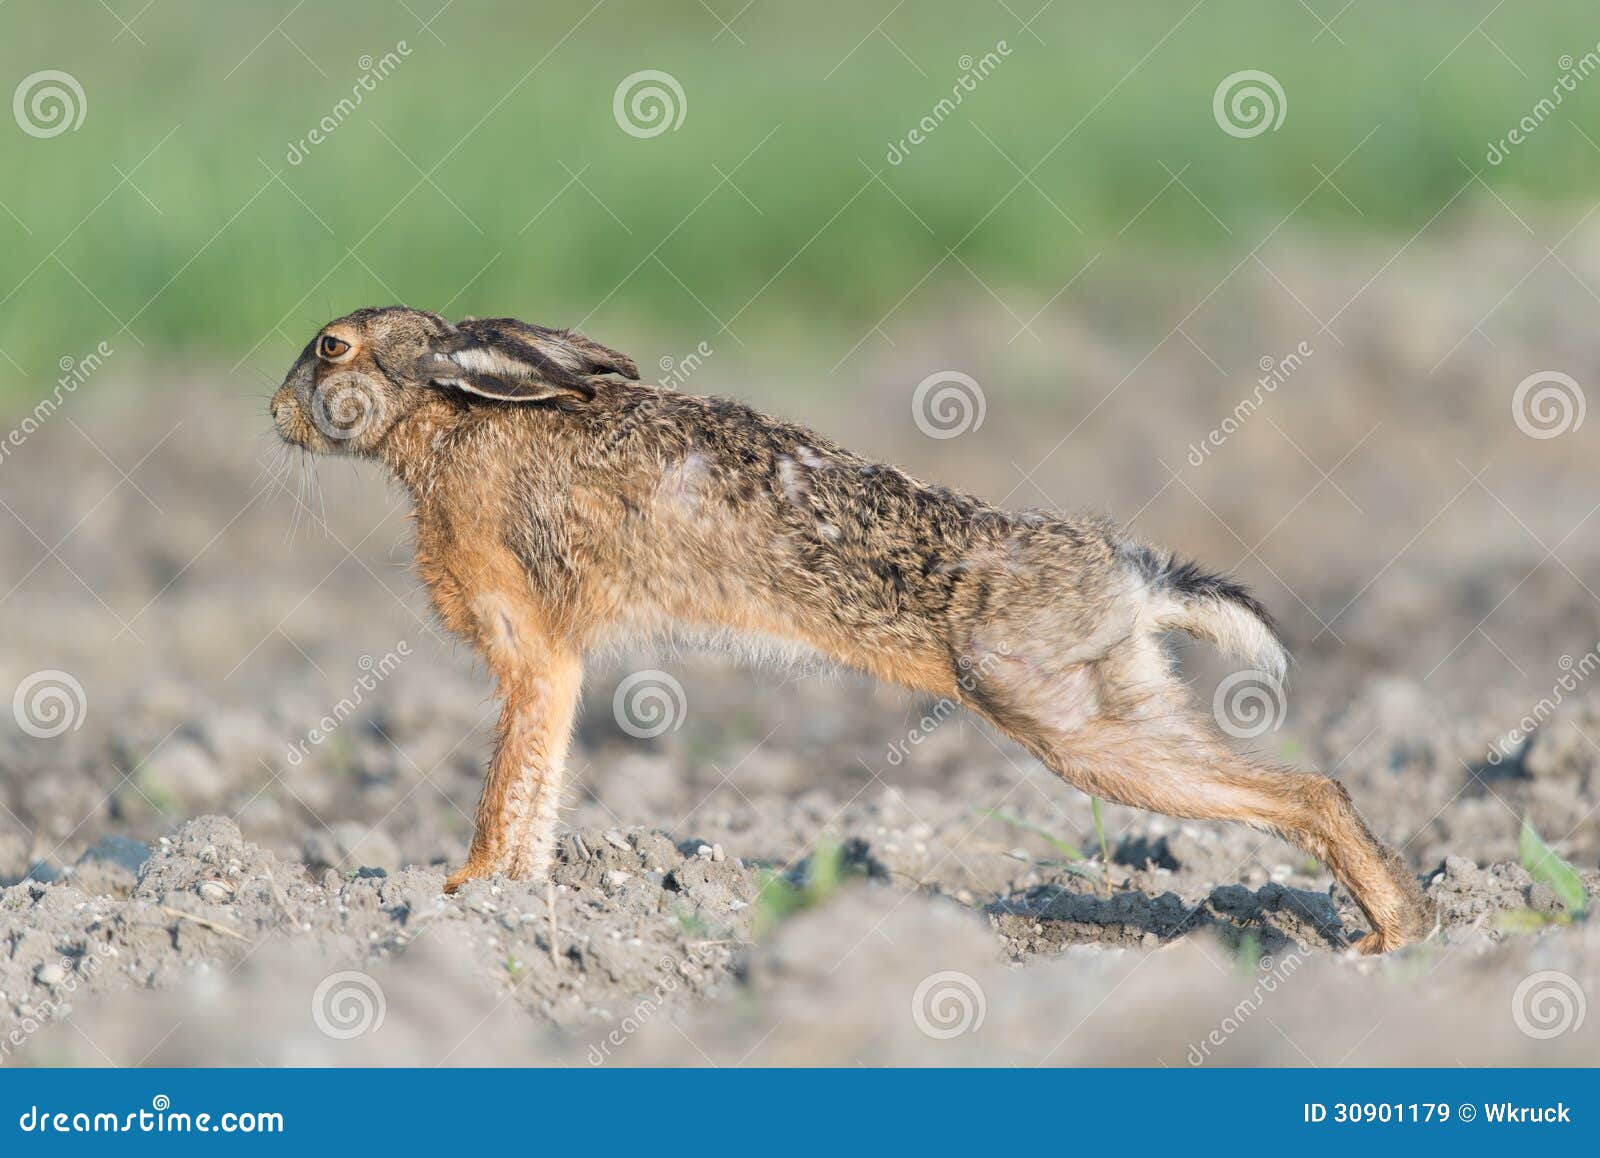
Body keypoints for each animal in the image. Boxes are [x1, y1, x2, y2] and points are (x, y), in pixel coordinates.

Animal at [270, 306, 1434, 954]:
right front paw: (518, 898)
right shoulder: (553, 664)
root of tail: (1131, 580)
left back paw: (1392, 941)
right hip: (1109, 701)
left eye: (332, 347)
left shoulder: (530, 648)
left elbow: (511, 770)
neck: (447, 419)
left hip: (1062, 718)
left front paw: (463, 890)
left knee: (1305, 791)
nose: (275, 413)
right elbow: (543, 773)